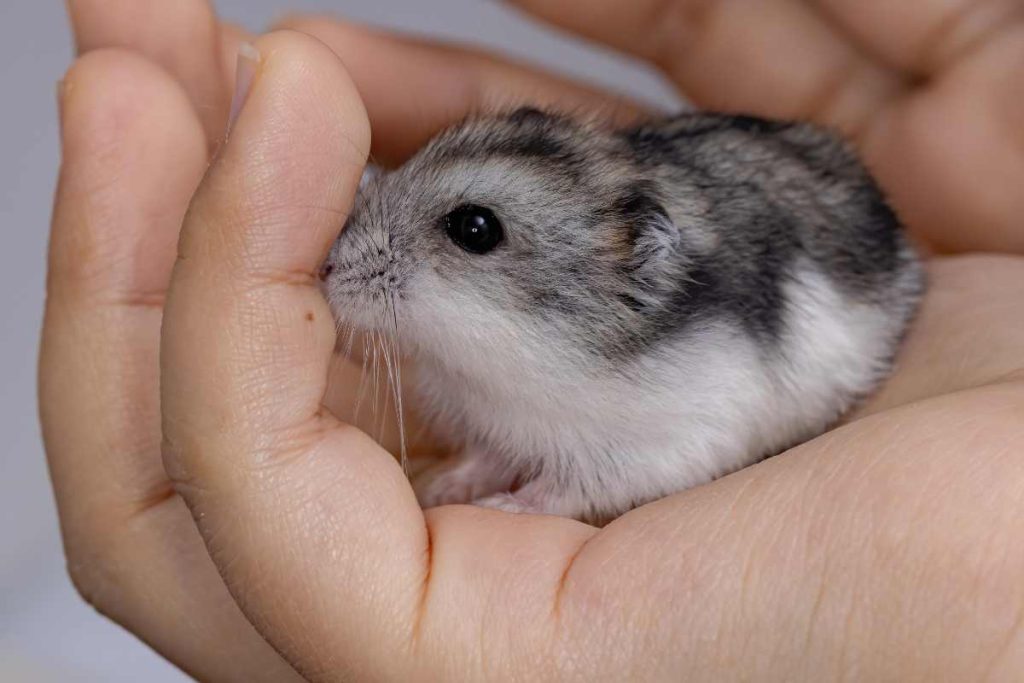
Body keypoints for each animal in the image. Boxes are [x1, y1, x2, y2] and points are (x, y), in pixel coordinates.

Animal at [320, 108, 924, 523]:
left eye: (475, 228)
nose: (326, 268)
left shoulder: (655, 447)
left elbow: (568, 487)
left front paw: (503, 506)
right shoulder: (494, 421)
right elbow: (488, 454)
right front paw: (447, 485)